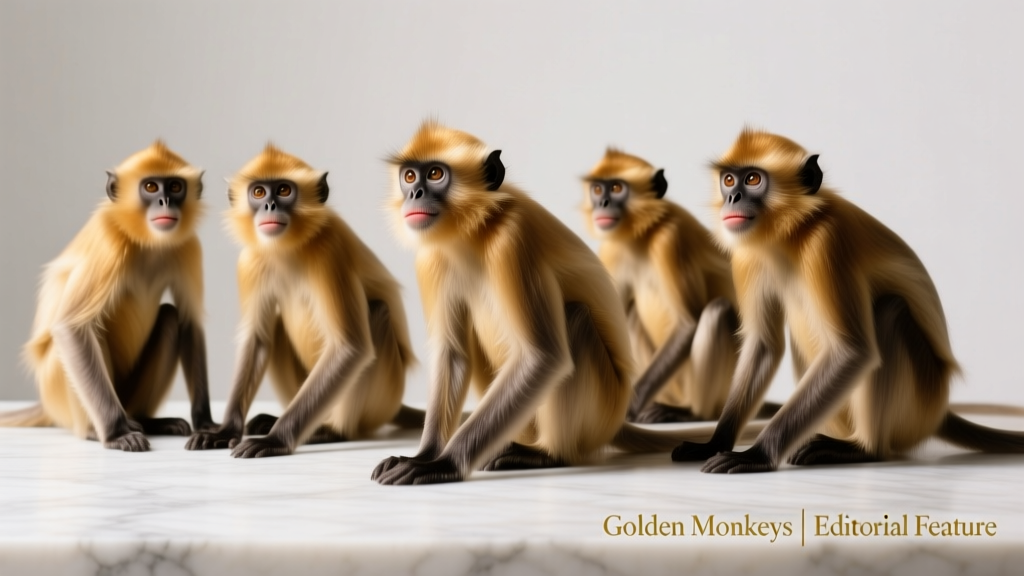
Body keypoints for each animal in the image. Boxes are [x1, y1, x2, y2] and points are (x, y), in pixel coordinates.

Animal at [0, 141, 215, 451]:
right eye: (151, 187)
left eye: (175, 187)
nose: (165, 202)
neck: (147, 240)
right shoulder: (108, 240)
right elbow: (70, 328)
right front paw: (116, 434)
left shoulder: (187, 245)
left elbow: (189, 323)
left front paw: (207, 425)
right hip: (58, 388)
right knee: (91, 327)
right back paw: (95, 429)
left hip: (128, 393)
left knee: (169, 317)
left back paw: (148, 420)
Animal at [185, 144, 421, 458]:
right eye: (258, 192)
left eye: (284, 190)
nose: (270, 207)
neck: (287, 247)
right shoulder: (250, 260)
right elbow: (257, 339)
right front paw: (225, 431)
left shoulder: (330, 250)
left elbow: (350, 349)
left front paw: (275, 440)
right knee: (275, 327)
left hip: (382, 397)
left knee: (377, 313)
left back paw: (332, 431)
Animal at [582, 148, 782, 424]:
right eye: (597, 190)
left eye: (616, 187)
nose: (601, 204)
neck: (641, 235)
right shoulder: (612, 249)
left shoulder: (671, 240)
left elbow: (688, 324)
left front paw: (628, 408)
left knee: (718, 311)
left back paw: (691, 413)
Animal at [672, 128, 1024, 473]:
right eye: (729, 180)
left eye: (754, 179)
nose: (732, 198)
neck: (792, 232)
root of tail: (939, 412)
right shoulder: (747, 256)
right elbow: (763, 346)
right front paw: (714, 444)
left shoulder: (828, 242)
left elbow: (853, 351)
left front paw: (757, 454)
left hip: (920, 401)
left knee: (890, 312)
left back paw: (864, 449)